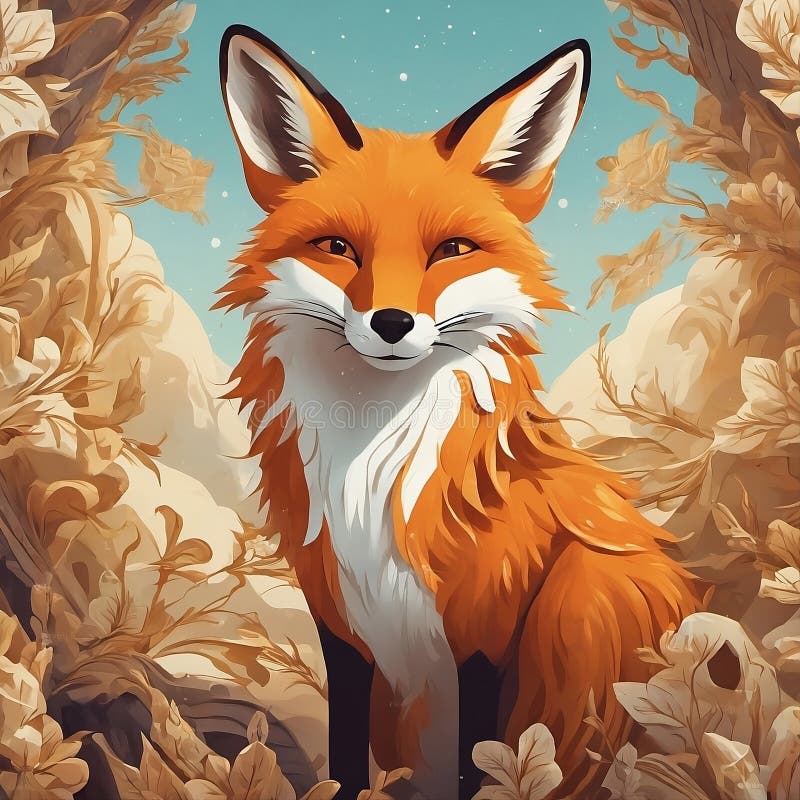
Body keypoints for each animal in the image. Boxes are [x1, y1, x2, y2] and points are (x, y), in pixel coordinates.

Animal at [217, 25, 698, 800]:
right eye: (337, 248)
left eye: (451, 251)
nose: (391, 323)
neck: (375, 465)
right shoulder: (340, 623)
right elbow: (345, 753)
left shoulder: (488, 631)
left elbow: (486, 760)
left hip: (581, 602)